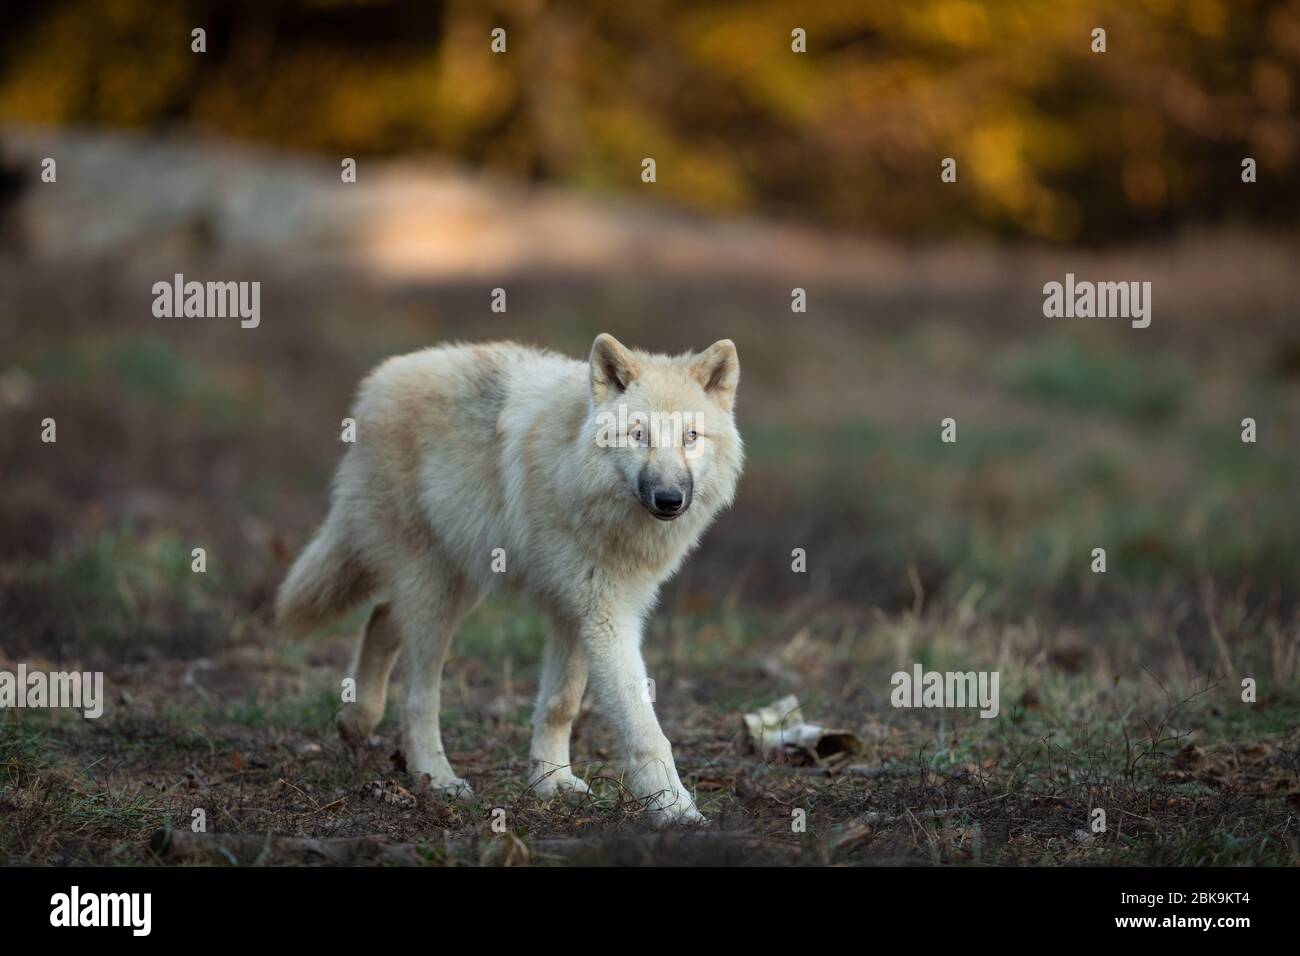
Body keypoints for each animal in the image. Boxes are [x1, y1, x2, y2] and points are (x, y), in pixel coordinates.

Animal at [274, 334, 743, 824]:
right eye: (638, 435)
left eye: (691, 437)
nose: (669, 499)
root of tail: (377, 383)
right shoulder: (606, 614)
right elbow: (645, 728)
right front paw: (675, 808)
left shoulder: (575, 609)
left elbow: (560, 704)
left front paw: (551, 781)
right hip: (435, 592)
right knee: (417, 695)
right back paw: (437, 778)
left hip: (461, 582)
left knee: (382, 618)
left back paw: (355, 722)